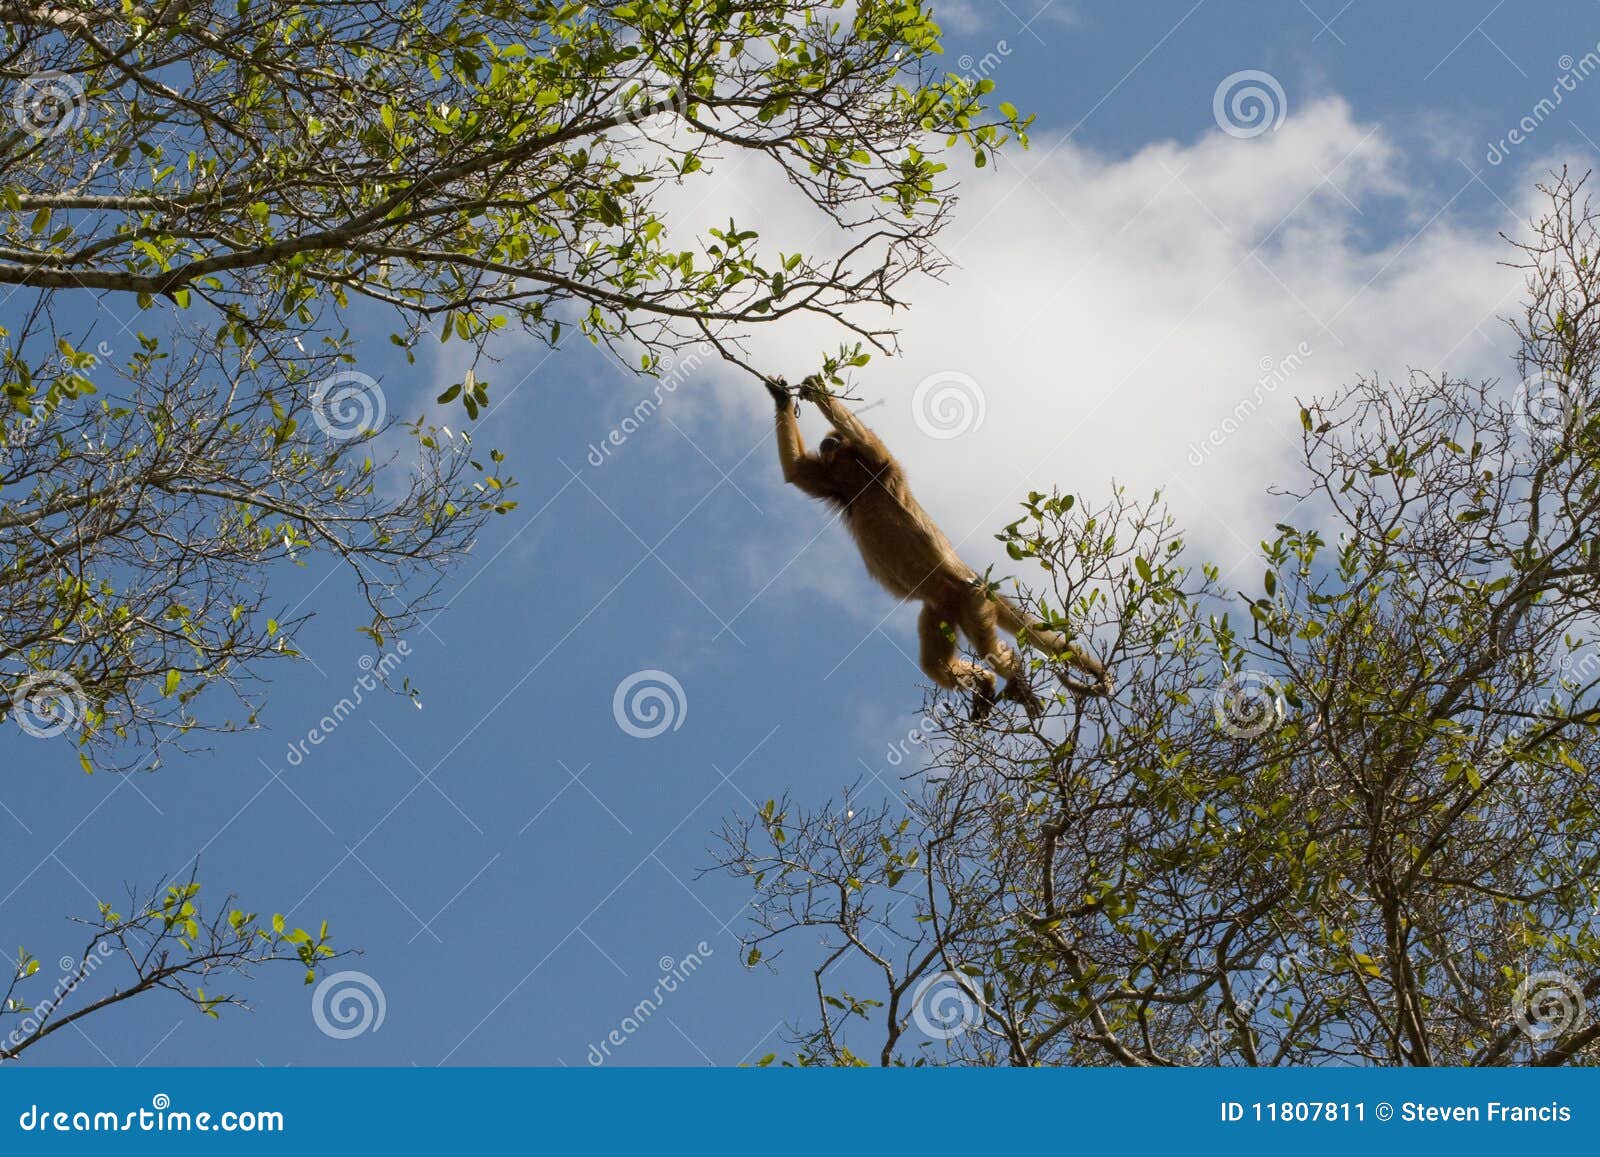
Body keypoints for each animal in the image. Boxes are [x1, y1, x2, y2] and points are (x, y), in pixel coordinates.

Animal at [766, 374, 1111, 719]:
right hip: (941, 609)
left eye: (835, 439)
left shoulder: (880, 464)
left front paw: (816, 390)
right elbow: (796, 472)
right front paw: (781, 395)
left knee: (989, 649)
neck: (862, 488)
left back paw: (1015, 677)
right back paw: (986, 682)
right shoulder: (841, 488)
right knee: (936, 665)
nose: (827, 444)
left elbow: (861, 438)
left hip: (972, 600)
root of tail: (975, 579)